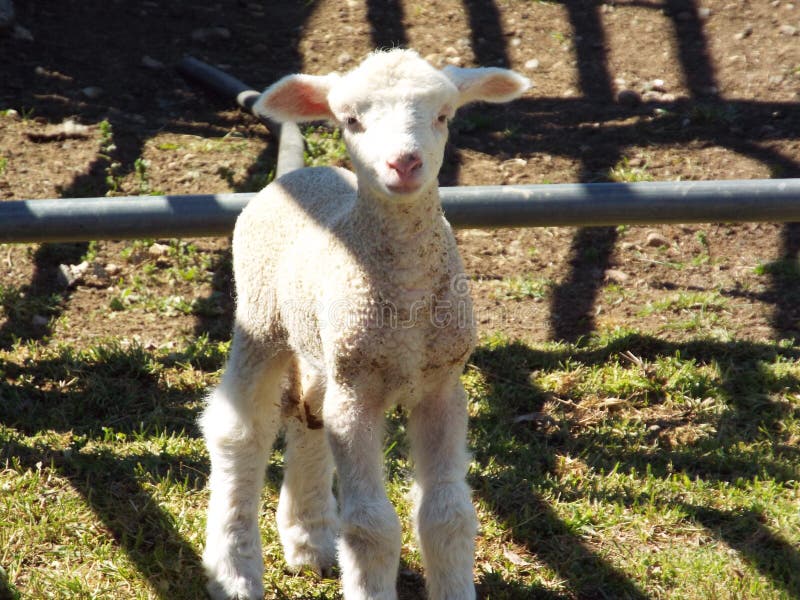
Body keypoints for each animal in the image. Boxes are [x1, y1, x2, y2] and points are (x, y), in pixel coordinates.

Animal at [201, 48, 529, 600]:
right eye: (351, 120)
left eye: (444, 115)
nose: (405, 163)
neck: (408, 300)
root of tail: (298, 172)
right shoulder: (359, 389)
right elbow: (372, 525)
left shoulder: (441, 385)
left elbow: (448, 514)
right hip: (260, 317)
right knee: (240, 432)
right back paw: (235, 568)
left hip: (323, 344)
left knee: (308, 416)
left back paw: (310, 537)